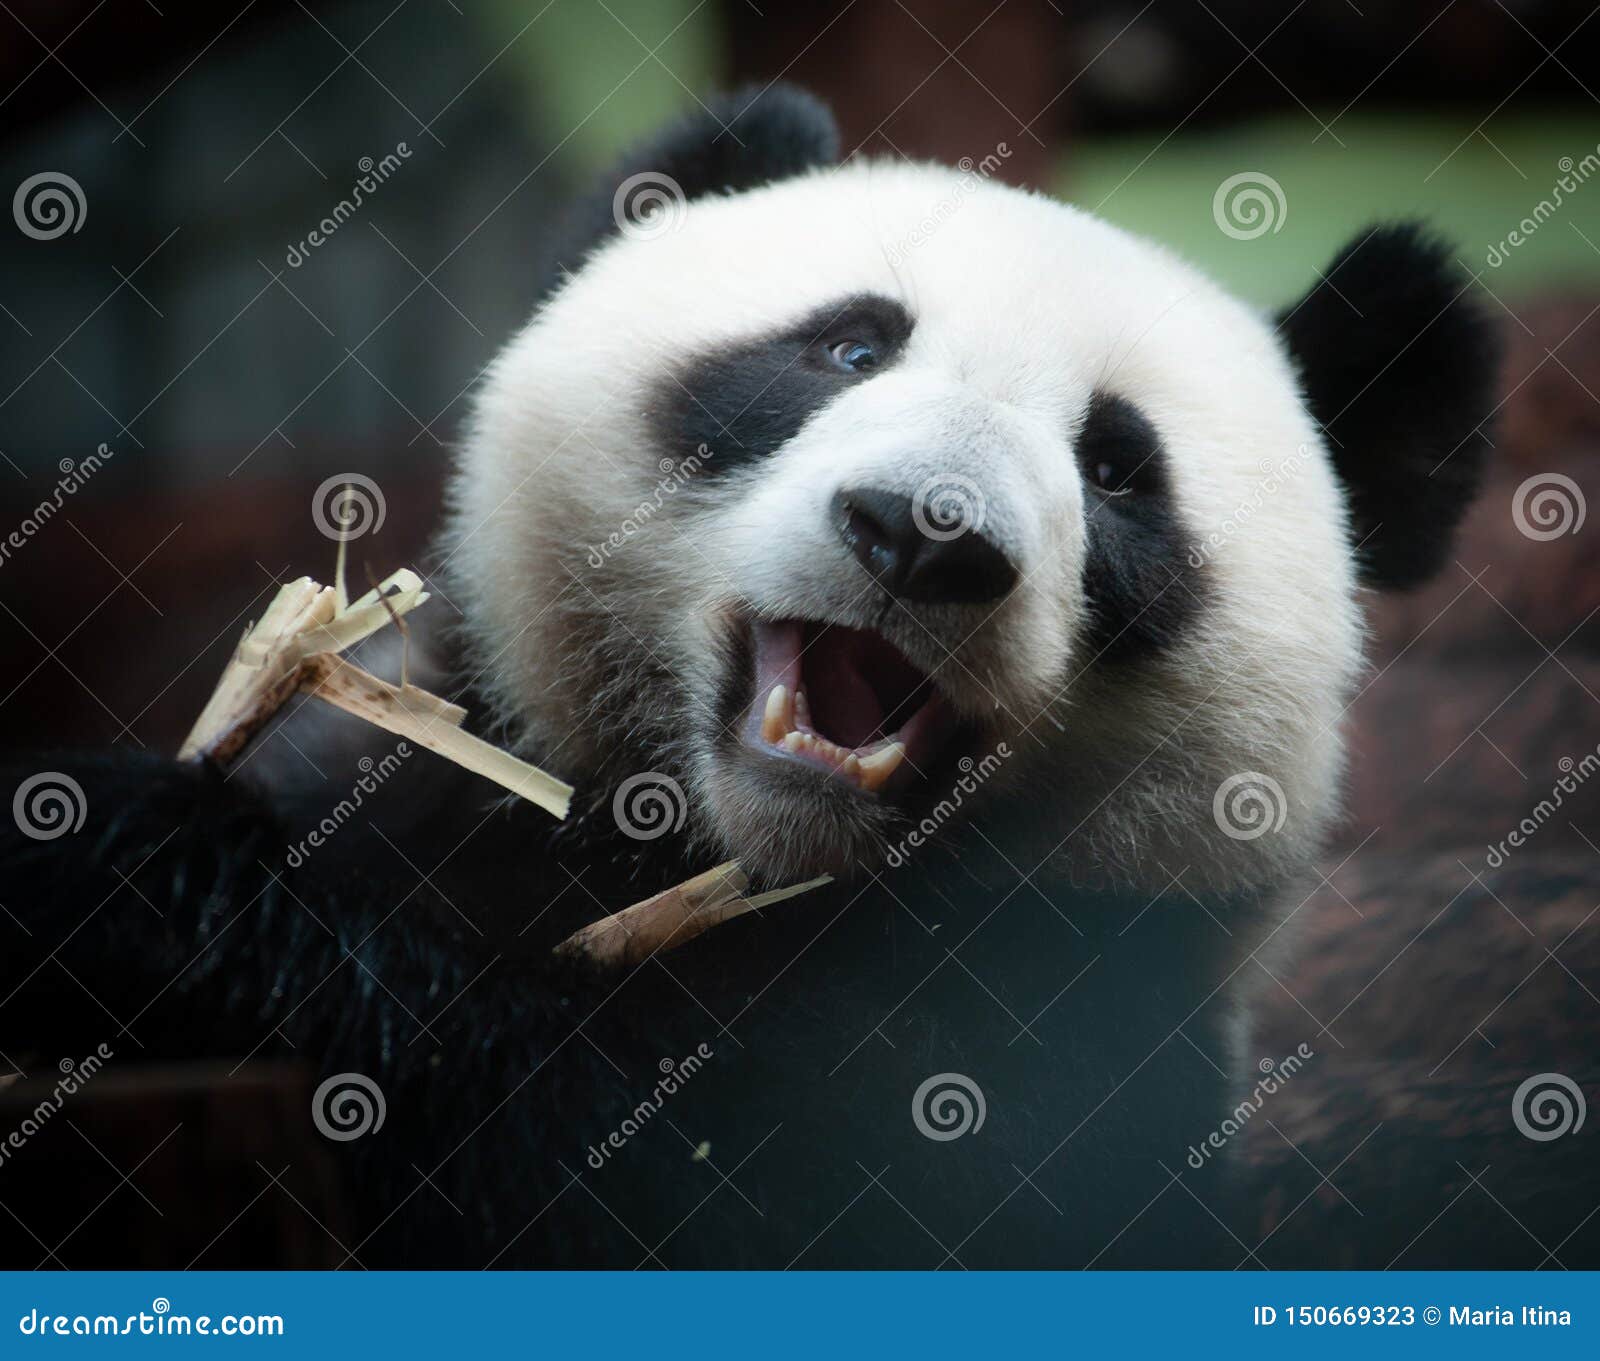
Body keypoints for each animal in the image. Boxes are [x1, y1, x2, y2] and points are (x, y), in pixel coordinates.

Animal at [0, 86, 1498, 1268]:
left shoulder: (1071, 1048)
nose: (924, 534)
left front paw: (123, 882)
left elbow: (646, 1173)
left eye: (1120, 468)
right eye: (849, 346)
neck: (732, 865)